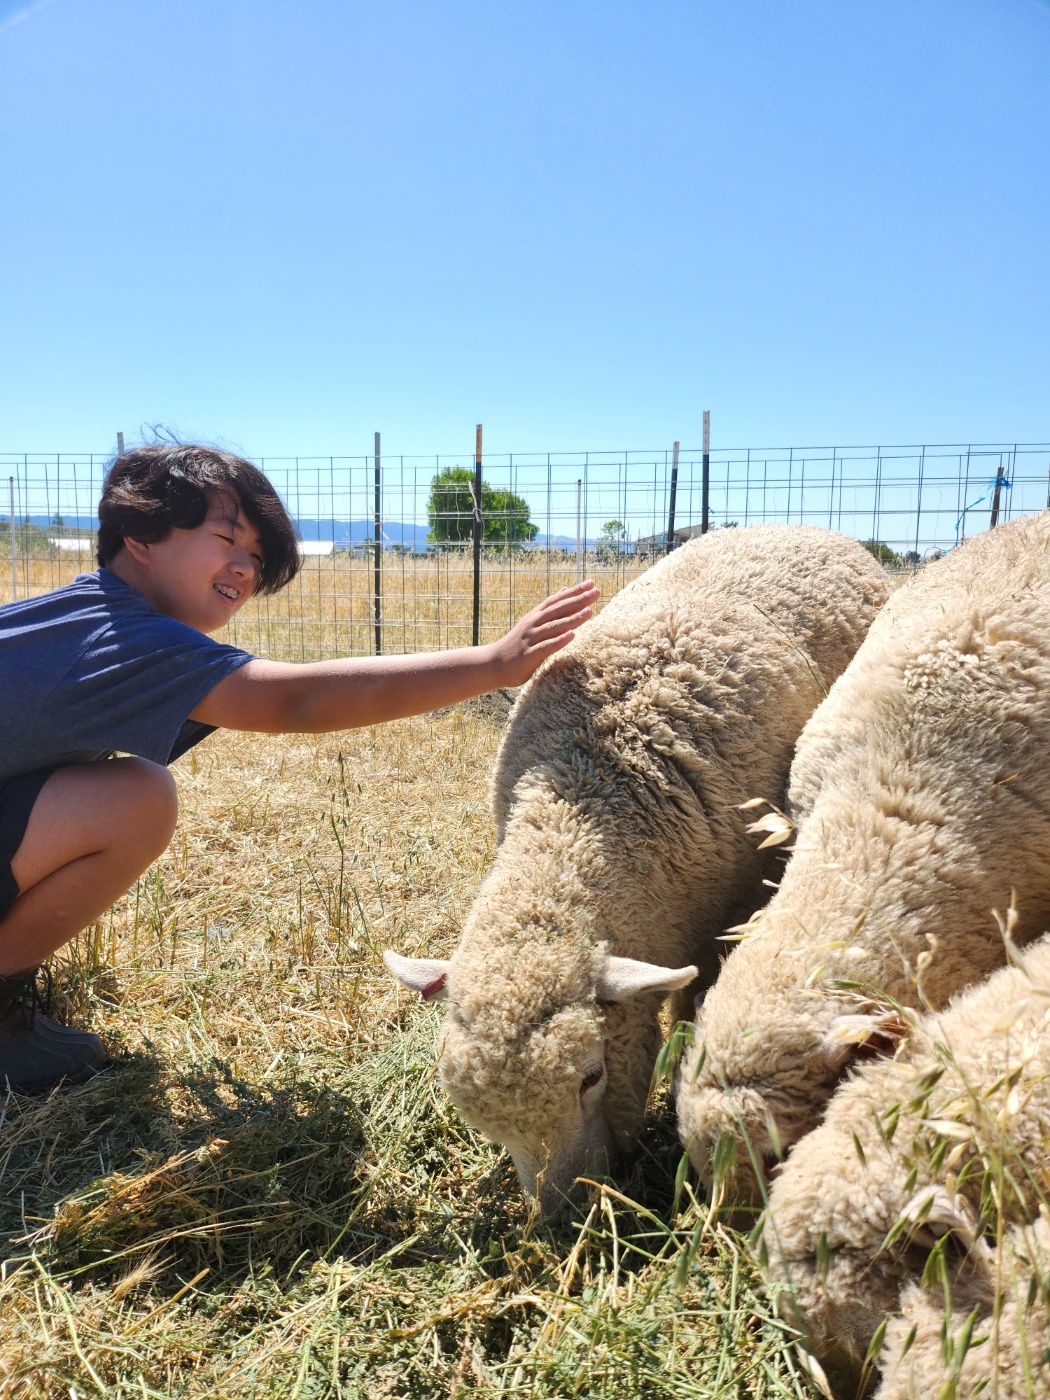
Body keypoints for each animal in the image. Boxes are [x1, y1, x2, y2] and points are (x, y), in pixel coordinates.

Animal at [385, 524, 890, 1212]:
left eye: (591, 1075)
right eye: (477, 1115)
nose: (562, 1213)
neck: (582, 808)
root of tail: (806, 527)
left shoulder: (724, 910)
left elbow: (694, 1001)